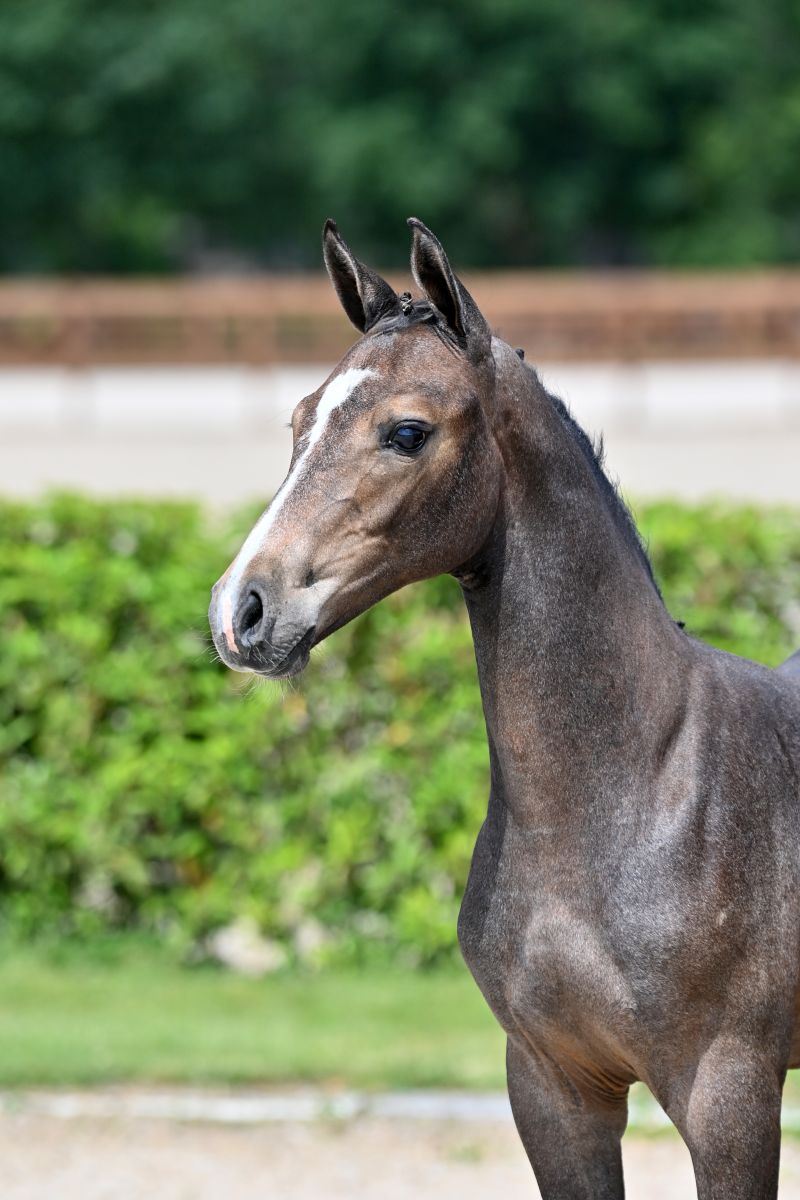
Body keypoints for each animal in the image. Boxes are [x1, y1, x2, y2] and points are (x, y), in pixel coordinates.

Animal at [209, 218, 800, 1199]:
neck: (625, 800)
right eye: (299, 420)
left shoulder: (730, 1092)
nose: (240, 612)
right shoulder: (553, 1087)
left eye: (406, 431)